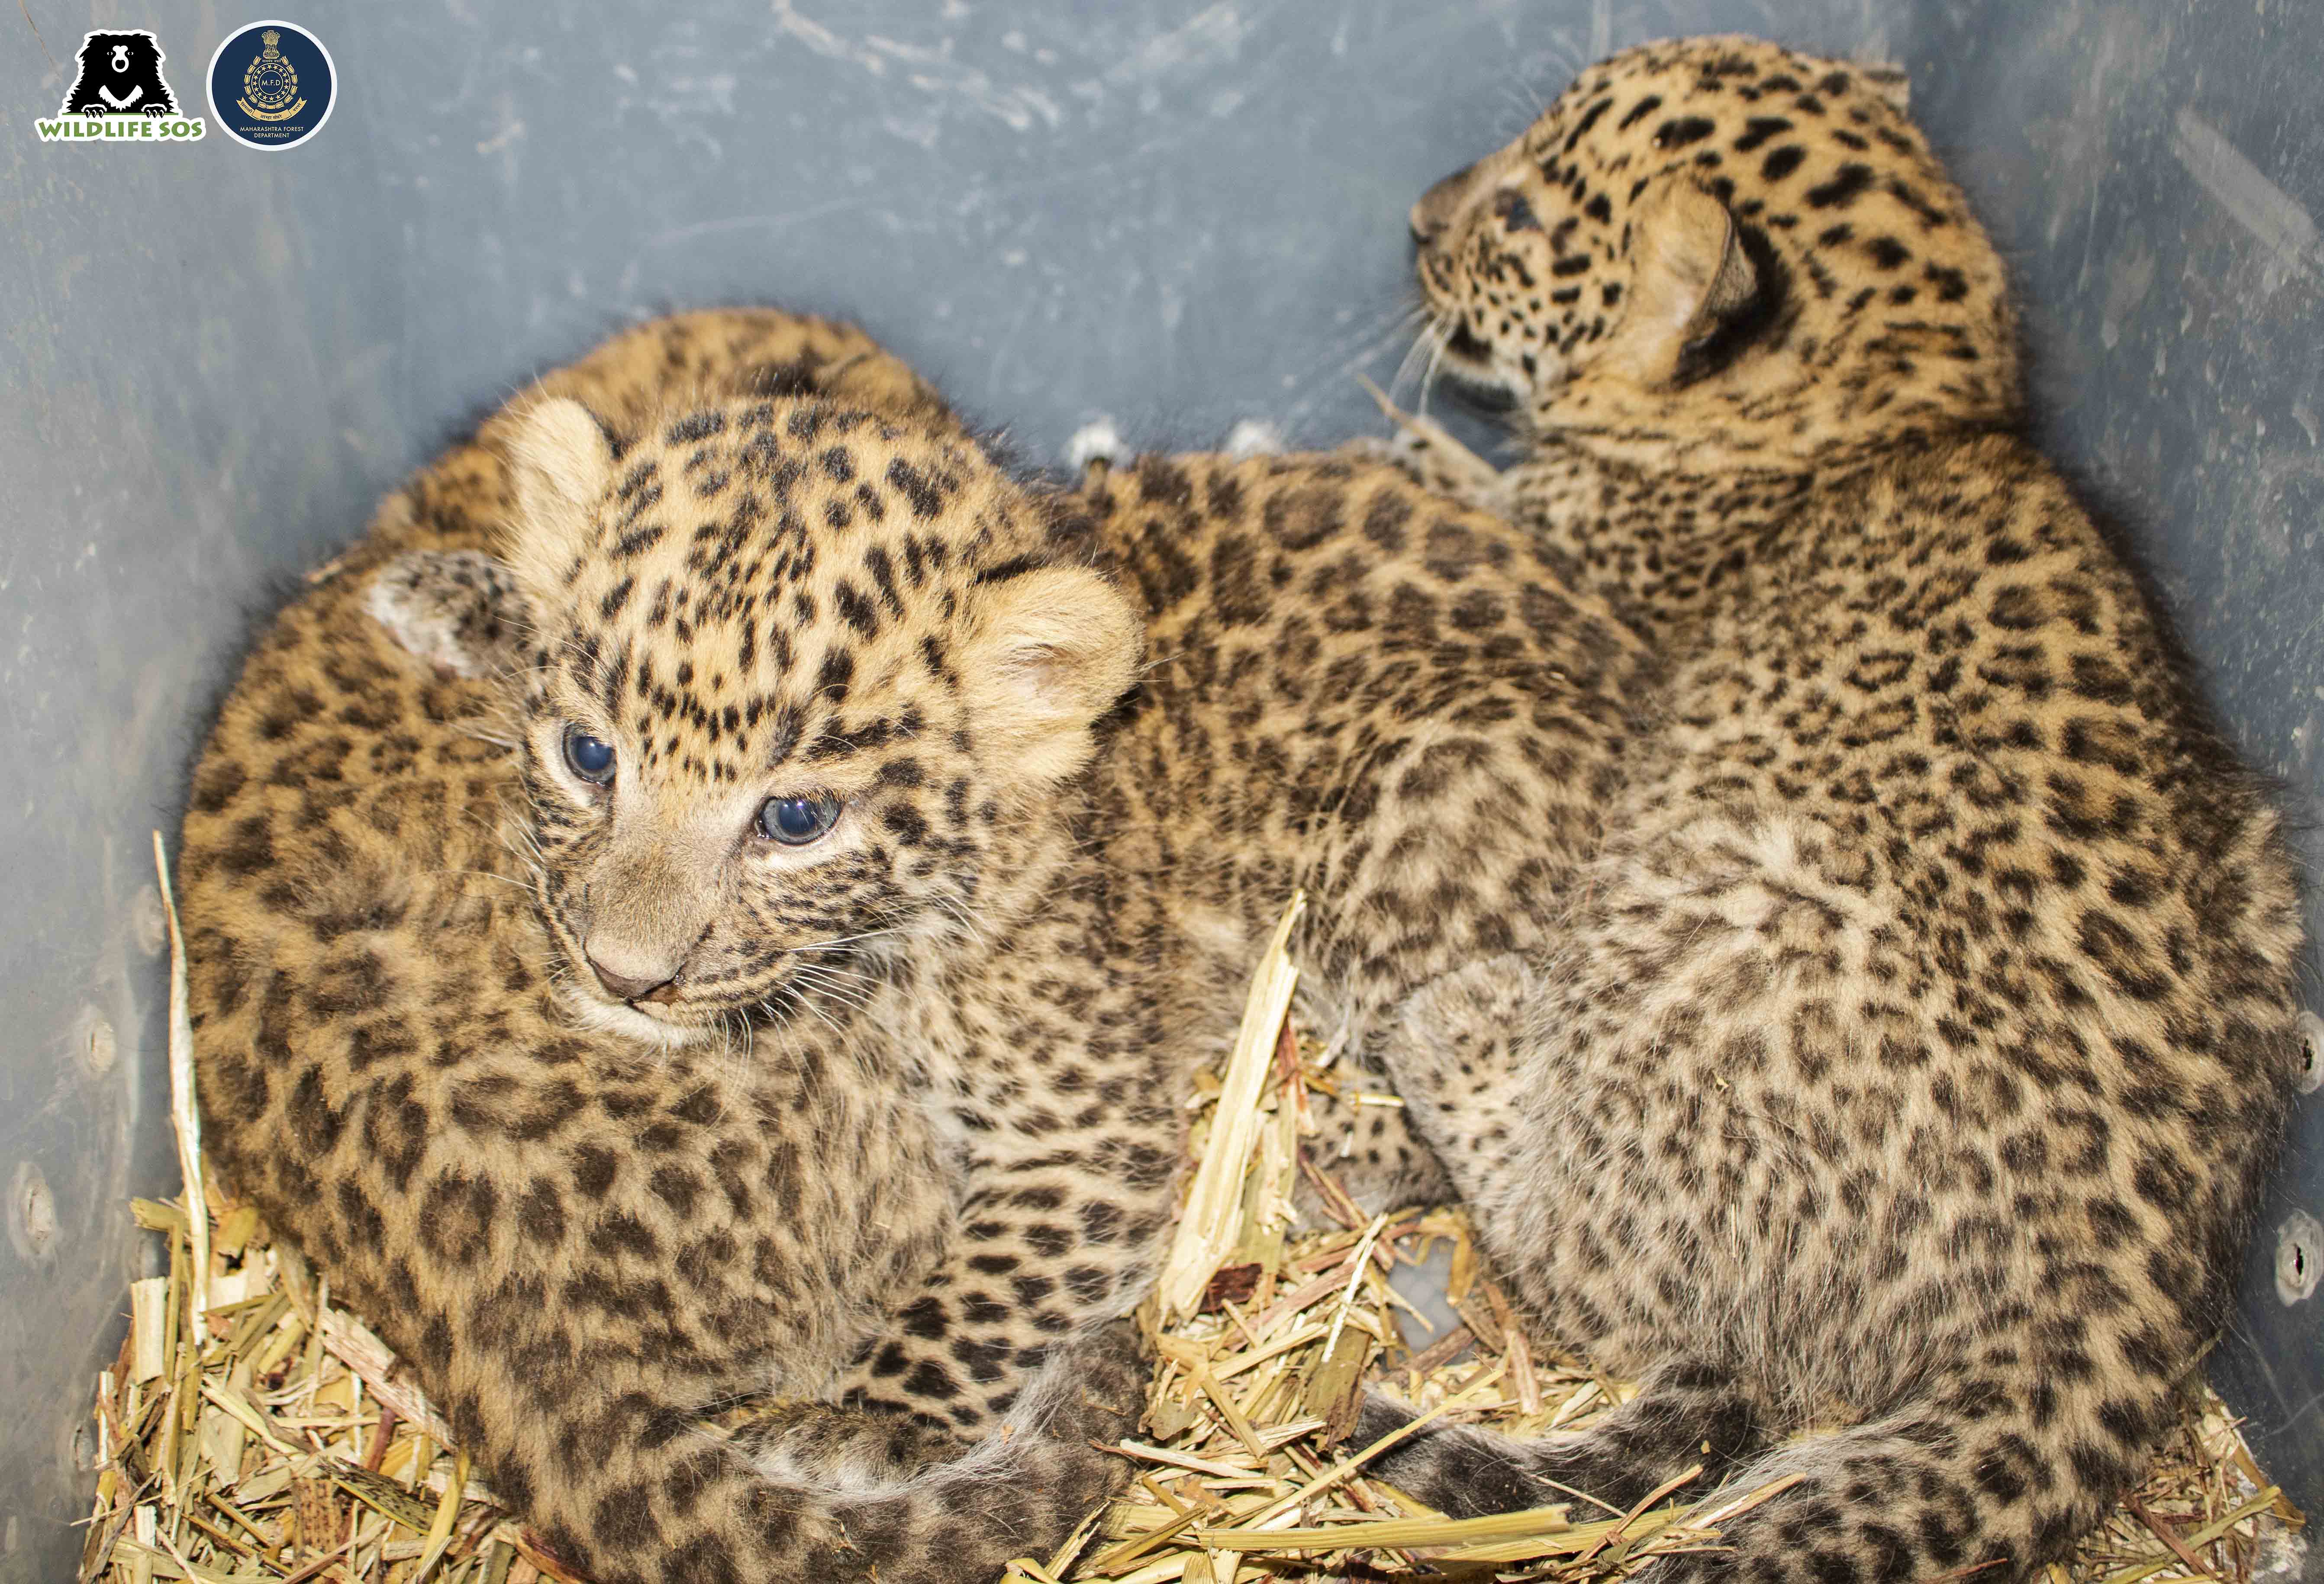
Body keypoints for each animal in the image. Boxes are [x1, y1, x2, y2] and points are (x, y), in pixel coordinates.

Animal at [179, 306, 1656, 1582]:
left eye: (796, 819)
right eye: (588, 757)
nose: (621, 975)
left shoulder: (1083, 1132)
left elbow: (985, 1284)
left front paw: (858, 1425)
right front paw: (453, 590)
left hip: (1420, 809)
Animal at [1338, 35, 2311, 1584]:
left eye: (1520, 220)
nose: (1417, 218)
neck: (1896, 402)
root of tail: (2125, 1285)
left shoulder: (1594, 586)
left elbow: (1498, 507)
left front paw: (1407, 453)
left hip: (1715, 918)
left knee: (1603, 1269)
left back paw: (1446, 1040)